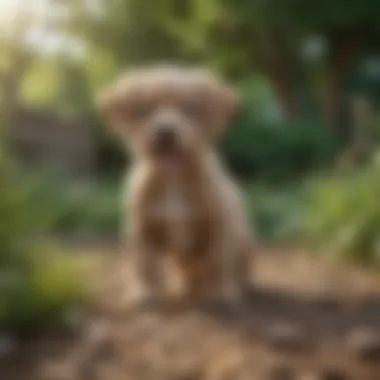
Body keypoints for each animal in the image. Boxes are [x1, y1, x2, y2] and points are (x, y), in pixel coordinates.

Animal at [98, 64, 252, 306]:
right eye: (146, 109)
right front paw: (145, 292)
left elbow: (218, 260)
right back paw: (183, 288)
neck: (173, 179)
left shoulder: (219, 225)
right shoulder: (143, 229)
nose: (166, 132)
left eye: (189, 109)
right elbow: (145, 264)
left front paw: (219, 293)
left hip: (244, 241)